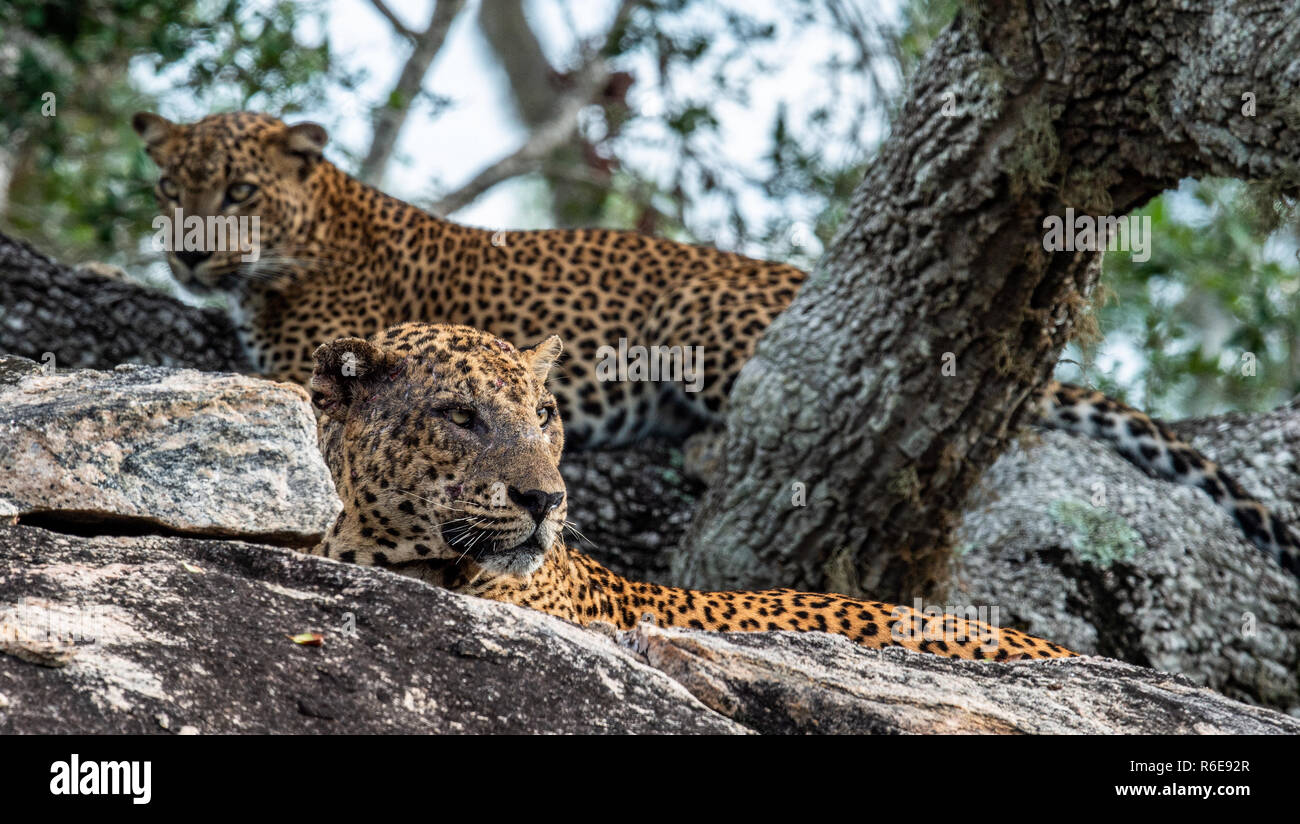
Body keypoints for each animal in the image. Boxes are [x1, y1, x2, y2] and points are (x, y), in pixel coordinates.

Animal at [132, 110, 1299, 579]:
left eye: (236, 194)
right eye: (170, 190)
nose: (187, 255)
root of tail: (787, 275)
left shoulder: (315, 362)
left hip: (707, 321)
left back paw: (705, 446)